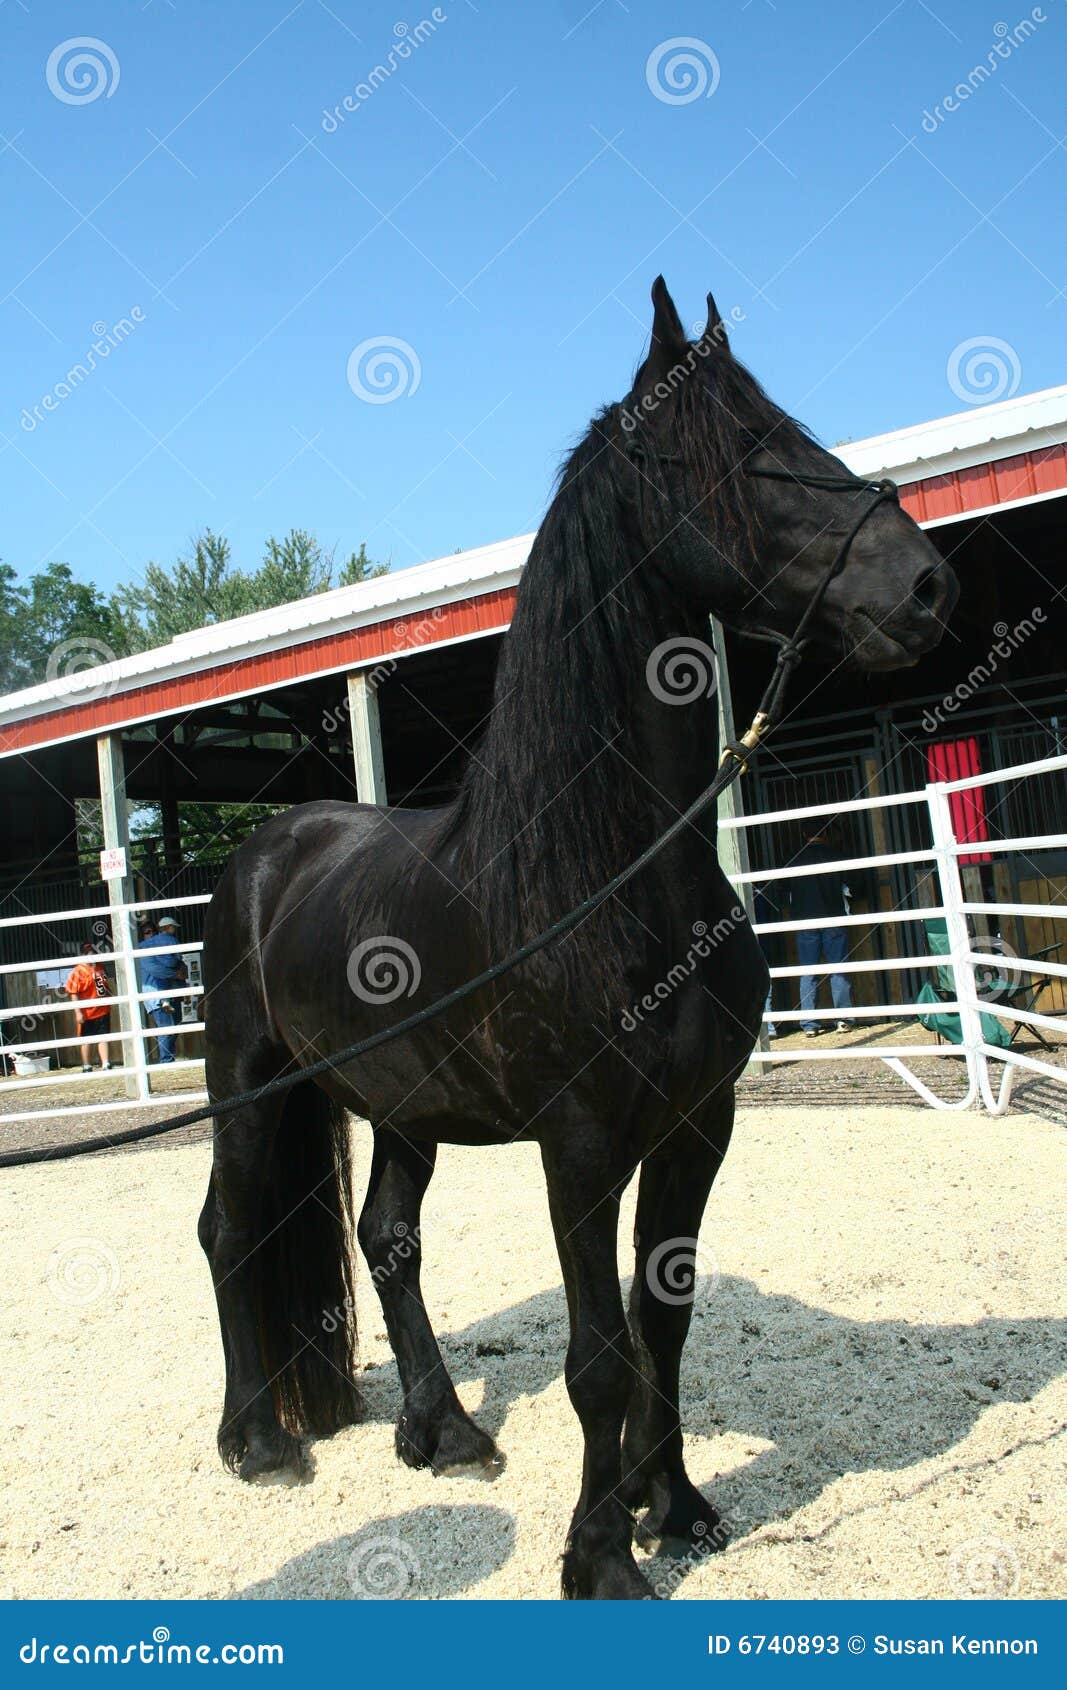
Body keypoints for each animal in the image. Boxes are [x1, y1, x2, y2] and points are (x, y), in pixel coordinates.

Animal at [198, 277, 957, 1600]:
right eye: (746, 450)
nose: (923, 584)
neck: (610, 877)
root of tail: (266, 849)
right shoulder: (582, 1141)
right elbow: (596, 1353)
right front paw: (599, 1553)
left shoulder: (697, 1125)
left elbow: (665, 1322)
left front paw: (676, 1504)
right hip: (250, 1086)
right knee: (233, 1232)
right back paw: (256, 1442)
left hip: (399, 1105)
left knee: (385, 1238)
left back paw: (443, 1430)